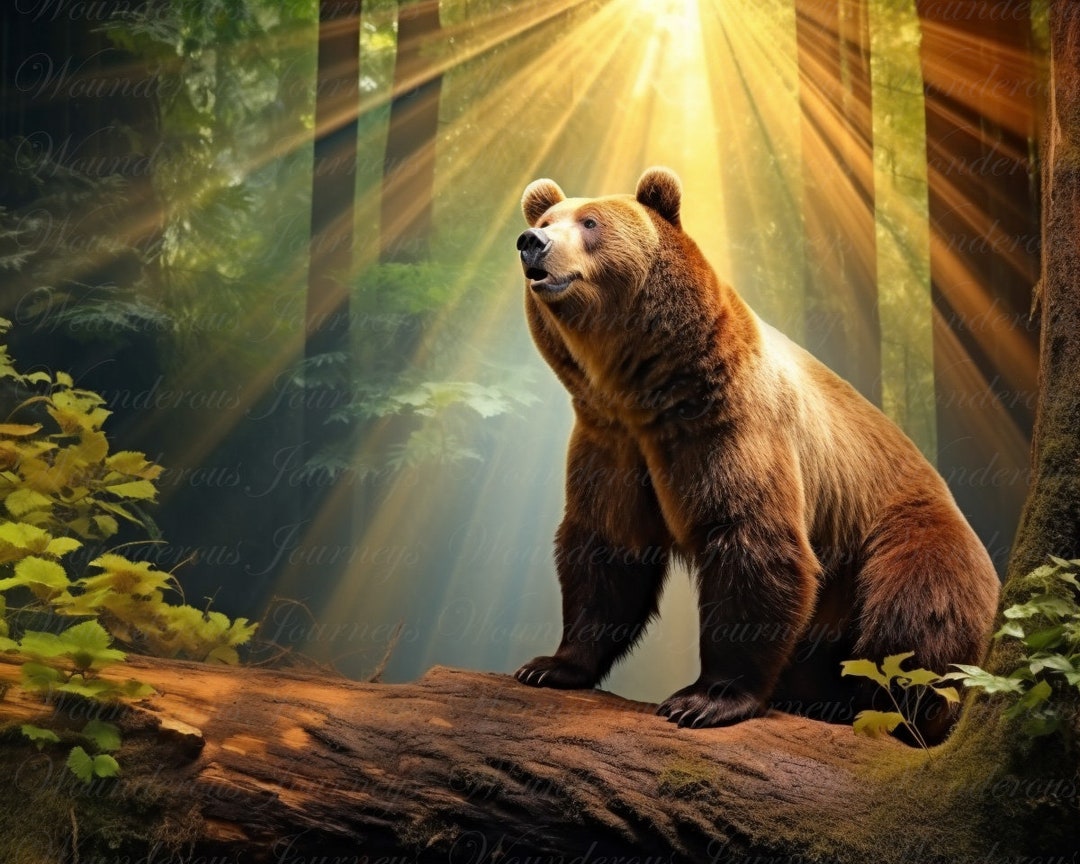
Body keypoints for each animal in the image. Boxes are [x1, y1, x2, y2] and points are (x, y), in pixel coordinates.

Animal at [513, 166, 1000, 743]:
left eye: (589, 222)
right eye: (547, 219)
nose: (531, 242)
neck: (643, 389)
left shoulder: (730, 426)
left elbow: (751, 542)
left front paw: (703, 699)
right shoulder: (611, 441)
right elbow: (606, 546)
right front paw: (549, 665)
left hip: (902, 535)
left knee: (911, 626)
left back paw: (890, 715)